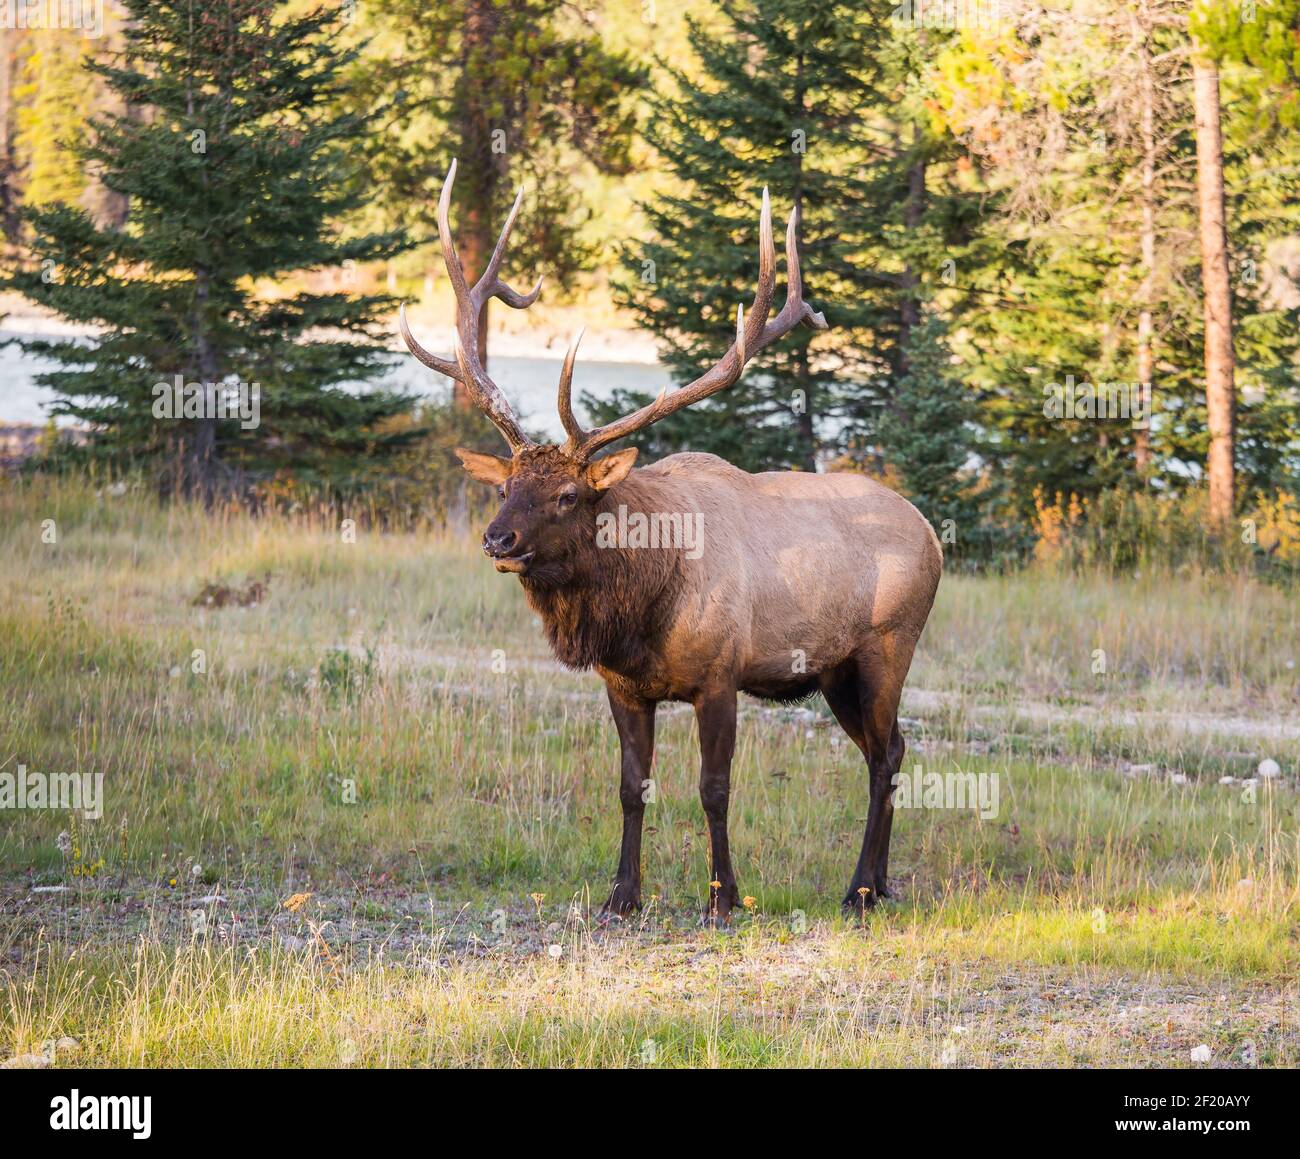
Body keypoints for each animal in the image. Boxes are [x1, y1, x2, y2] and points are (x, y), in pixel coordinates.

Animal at [401, 161, 943, 925]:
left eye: (569, 495)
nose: (497, 537)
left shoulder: (720, 675)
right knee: (885, 748)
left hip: (888, 646)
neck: (644, 607)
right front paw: (621, 895)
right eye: (505, 483)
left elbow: (713, 788)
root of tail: (931, 532)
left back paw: (860, 888)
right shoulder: (624, 686)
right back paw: (883, 881)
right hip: (836, 671)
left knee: (887, 754)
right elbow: (632, 786)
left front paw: (723, 898)